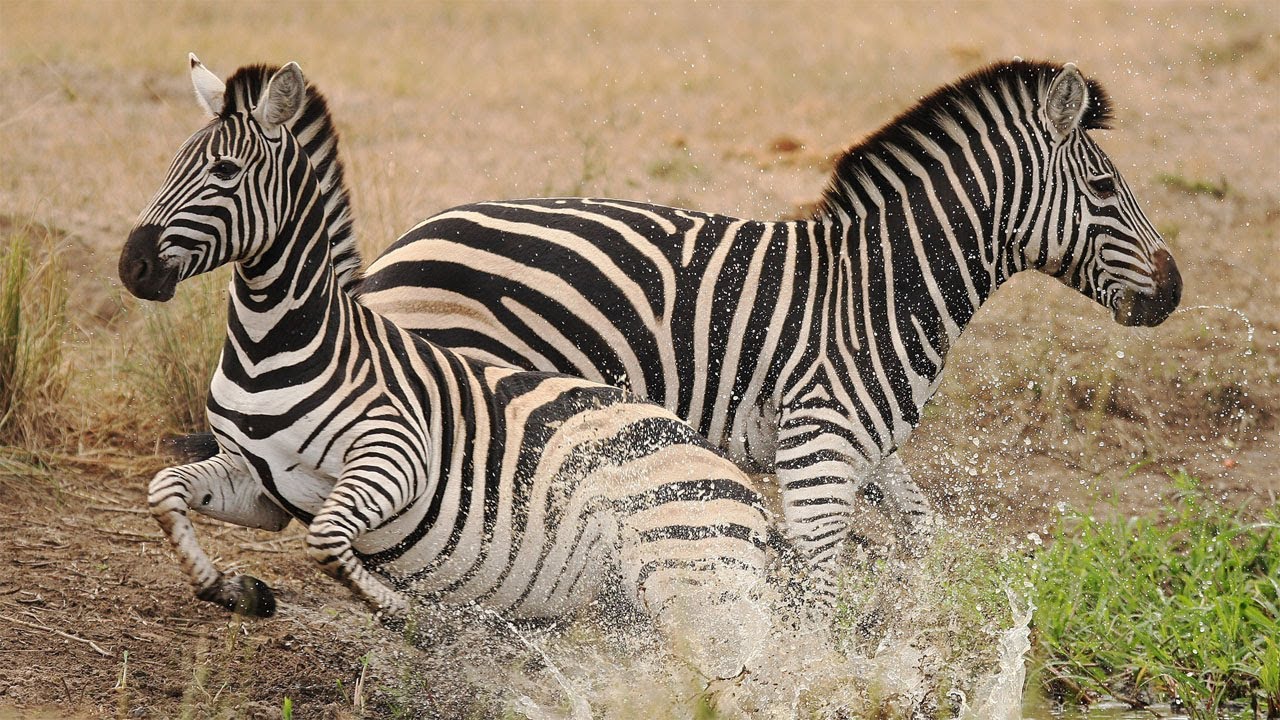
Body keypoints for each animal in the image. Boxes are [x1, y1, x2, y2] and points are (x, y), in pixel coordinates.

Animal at [118, 57, 770, 676]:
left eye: (225, 172)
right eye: (173, 163)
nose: (132, 267)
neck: (268, 347)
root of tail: (733, 475)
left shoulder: (398, 452)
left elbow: (327, 541)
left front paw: (411, 617)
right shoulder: (260, 484)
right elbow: (165, 491)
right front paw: (236, 589)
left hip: (690, 571)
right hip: (634, 601)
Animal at [354, 60, 1183, 600]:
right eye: (1103, 187)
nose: (1174, 290)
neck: (882, 288)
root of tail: (390, 254)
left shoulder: (866, 445)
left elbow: (923, 530)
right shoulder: (822, 444)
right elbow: (818, 583)